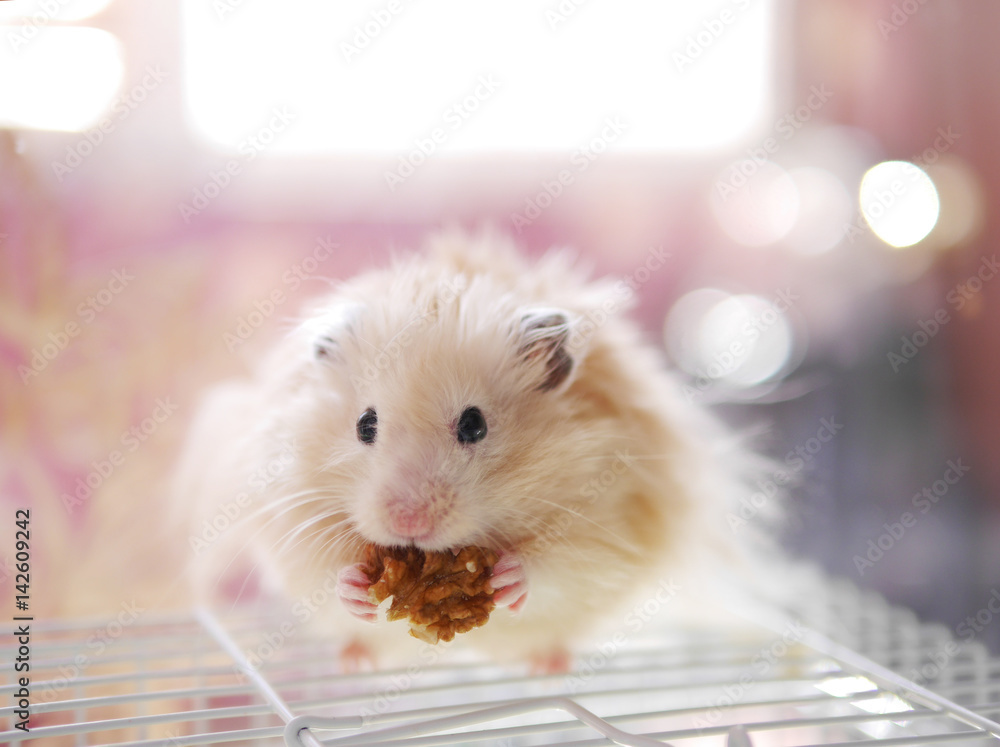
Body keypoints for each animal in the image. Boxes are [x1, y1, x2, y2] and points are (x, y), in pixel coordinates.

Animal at [175, 231, 774, 663]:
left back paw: (549, 663)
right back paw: (355, 657)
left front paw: (508, 576)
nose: (407, 521)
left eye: (474, 425)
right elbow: (323, 569)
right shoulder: (291, 510)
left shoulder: (611, 516)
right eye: (365, 425)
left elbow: (560, 568)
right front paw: (355, 586)